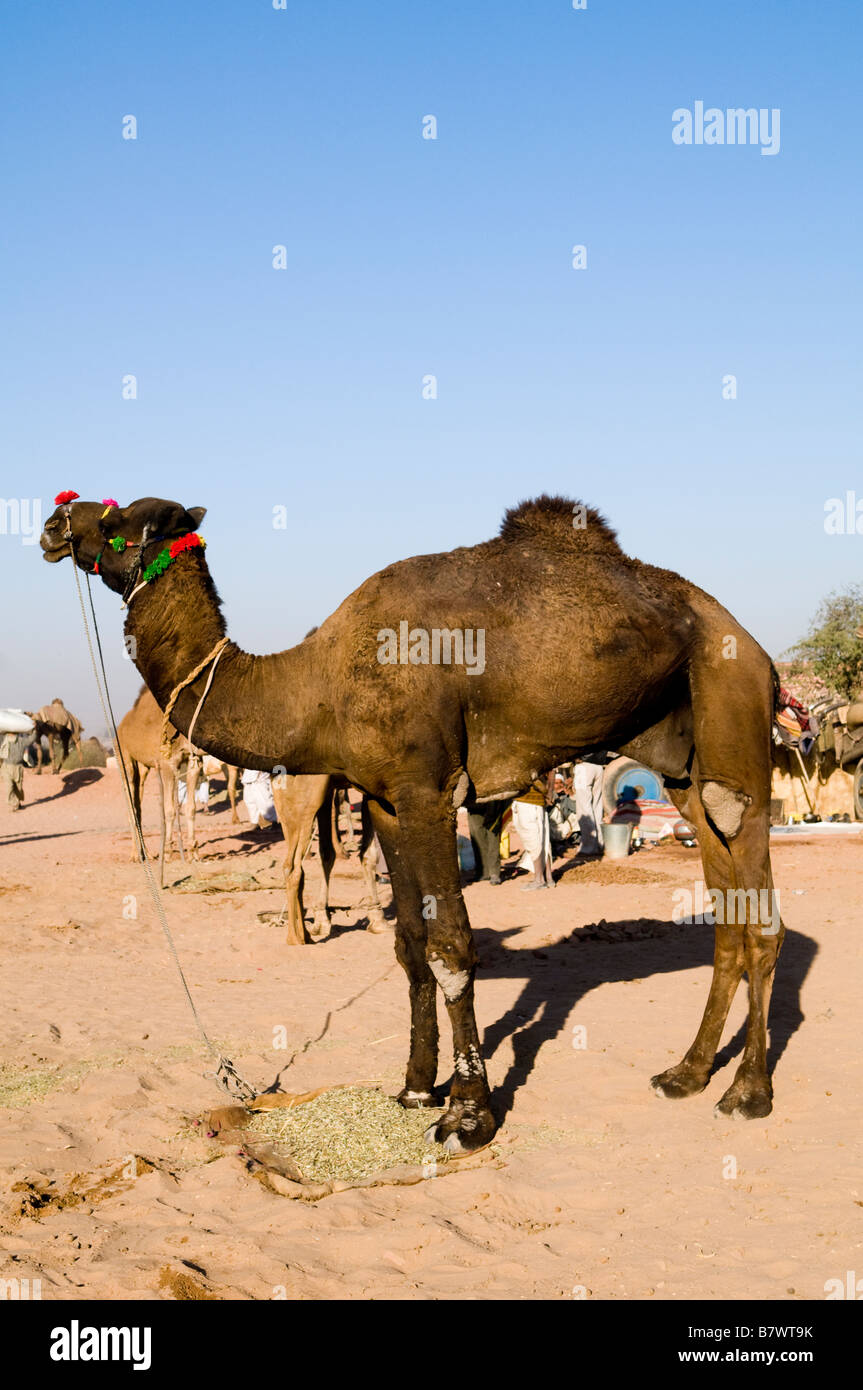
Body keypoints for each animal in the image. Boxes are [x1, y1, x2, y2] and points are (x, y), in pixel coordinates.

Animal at [42, 494, 784, 1152]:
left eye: (118, 521)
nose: (54, 521)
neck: (315, 685)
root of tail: (756, 648)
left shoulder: (428, 789)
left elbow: (450, 946)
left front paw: (467, 1117)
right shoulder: (384, 801)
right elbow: (409, 945)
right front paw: (414, 1088)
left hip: (732, 708)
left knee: (758, 906)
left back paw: (747, 1093)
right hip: (678, 761)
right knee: (726, 912)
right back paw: (685, 1073)